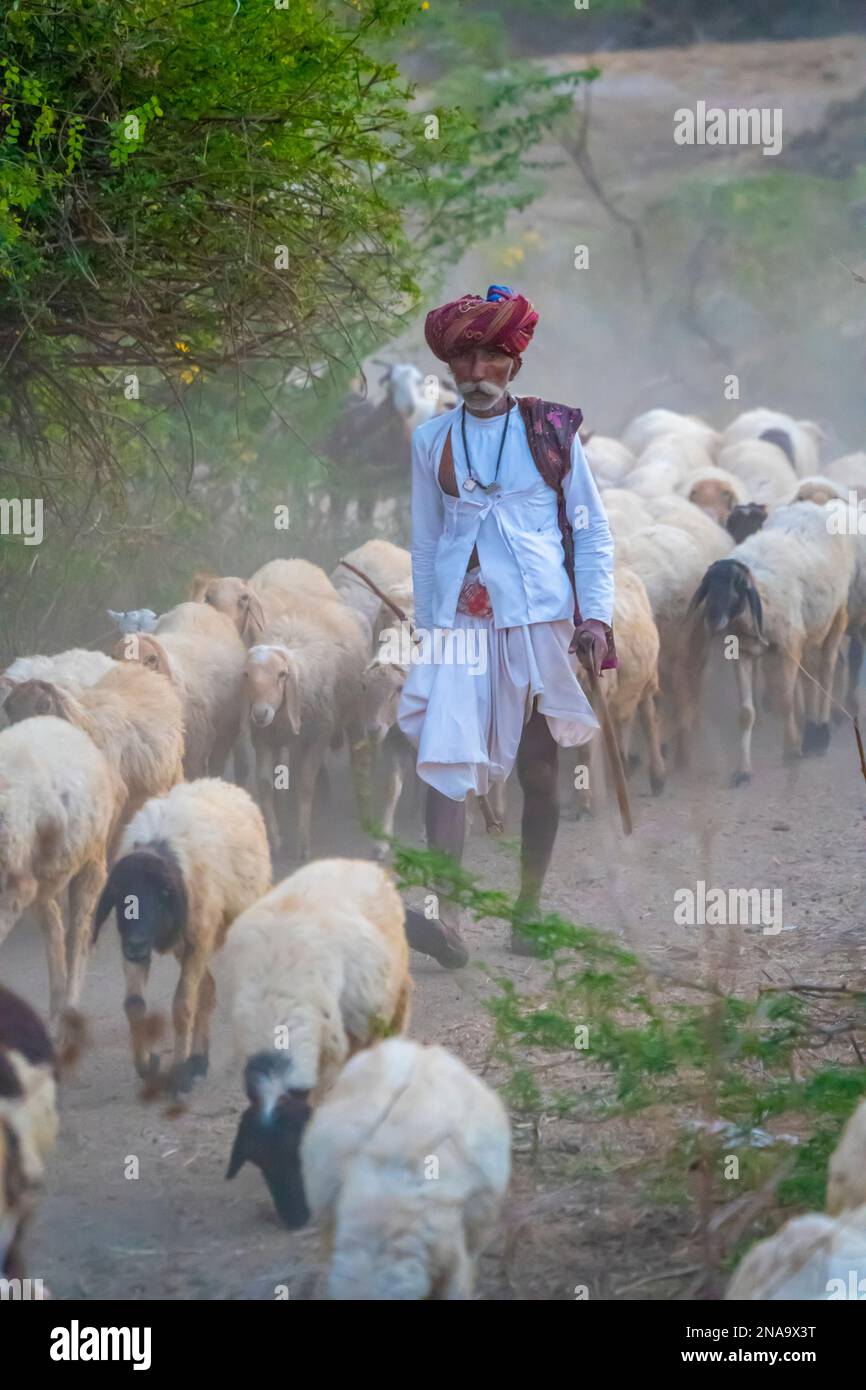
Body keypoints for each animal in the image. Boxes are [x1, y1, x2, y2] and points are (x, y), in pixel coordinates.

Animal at [0, 718, 121, 1024]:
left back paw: (68, 1008)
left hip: (90, 860)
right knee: (53, 924)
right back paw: (56, 1006)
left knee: (78, 931)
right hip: (44, 878)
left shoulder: (14, 888)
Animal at [93, 779, 271, 1091]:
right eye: (120, 894)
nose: (136, 946)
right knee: (209, 988)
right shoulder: (136, 943)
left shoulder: (196, 941)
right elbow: (134, 1004)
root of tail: (225, 784)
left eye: (162, 894)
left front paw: (178, 1074)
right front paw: (148, 1064)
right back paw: (199, 1060)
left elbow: (181, 1006)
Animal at [113, 601, 247, 779]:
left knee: (217, 761)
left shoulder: (194, 751)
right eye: (114, 657)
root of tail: (198, 605)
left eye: (151, 659)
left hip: (227, 728)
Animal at [223, 858, 411, 1228]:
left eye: (298, 1153)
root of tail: (358, 862)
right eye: (260, 1162)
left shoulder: (330, 1055)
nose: (294, 1219)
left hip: (389, 997)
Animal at [690, 502, 855, 781]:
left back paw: (821, 730)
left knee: (827, 668)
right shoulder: (743, 653)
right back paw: (811, 728)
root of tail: (811, 505)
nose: (713, 620)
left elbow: (785, 701)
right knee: (811, 672)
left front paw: (792, 749)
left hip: (837, 616)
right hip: (809, 631)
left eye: (737, 586)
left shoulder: (788, 649)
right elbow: (746, 712)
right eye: (708, 586)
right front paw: (743, 770)